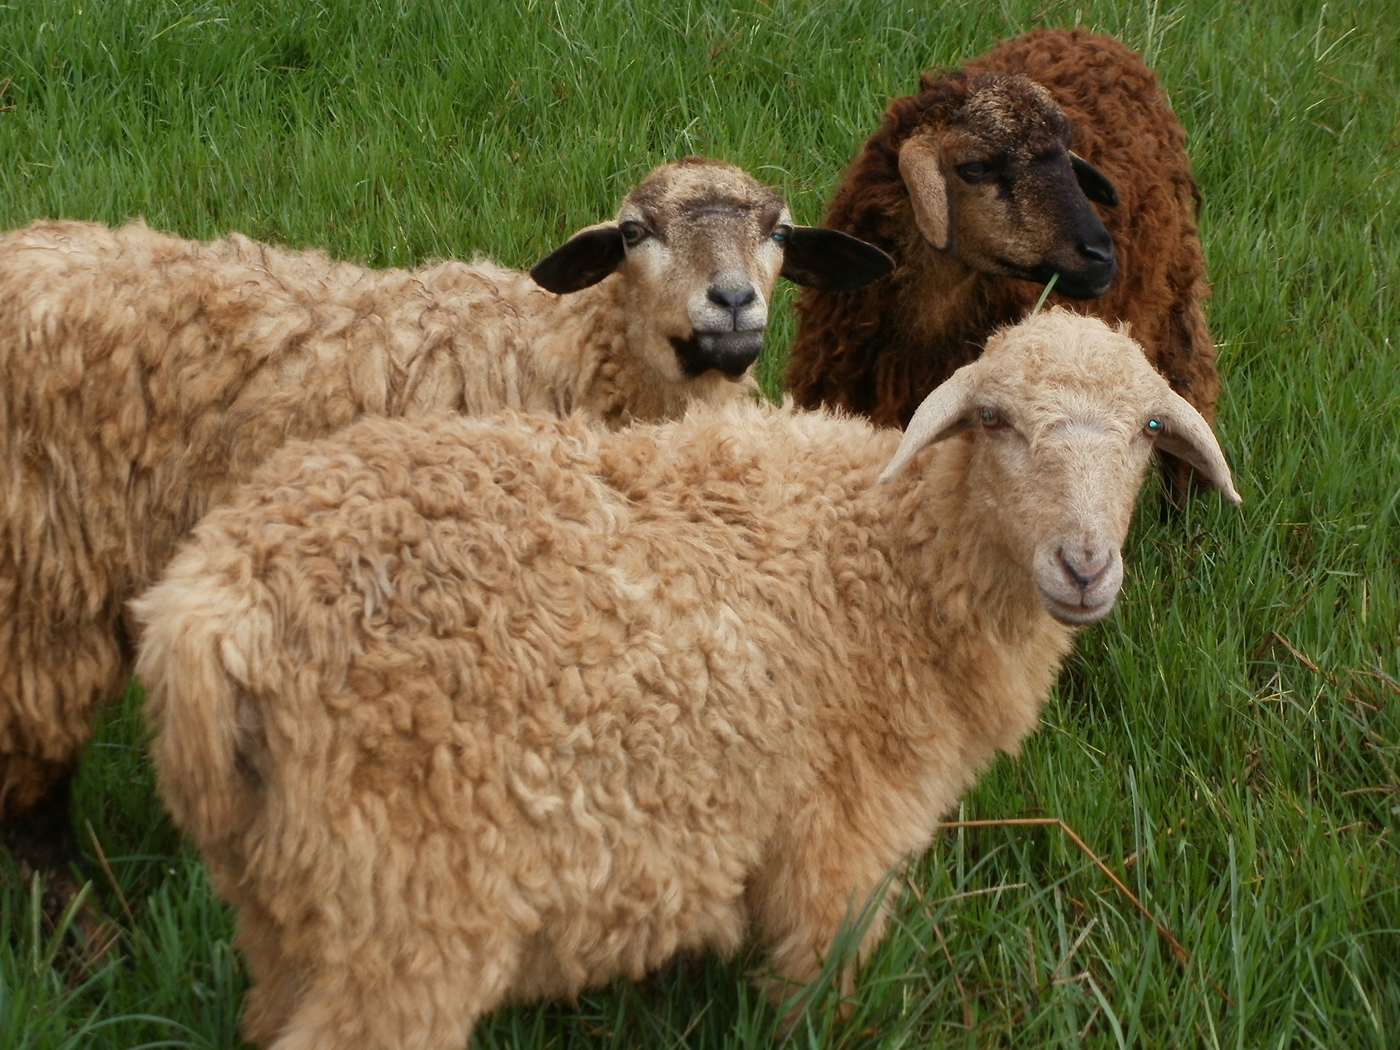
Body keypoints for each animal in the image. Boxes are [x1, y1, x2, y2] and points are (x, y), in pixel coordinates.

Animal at [0, 155, 894, 911]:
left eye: (780, 234)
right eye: (636, 233)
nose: (733, 304)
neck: (577, 356)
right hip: (41, 570)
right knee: (31, 788)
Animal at [133, 309, 1239, 1050]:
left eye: (1148, 432)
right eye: (998, 422)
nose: (1083, 566)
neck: (890, 562)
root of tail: (208, 611)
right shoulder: (840, 838)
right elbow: (816, 989)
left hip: (286, 887)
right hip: (407, 904)